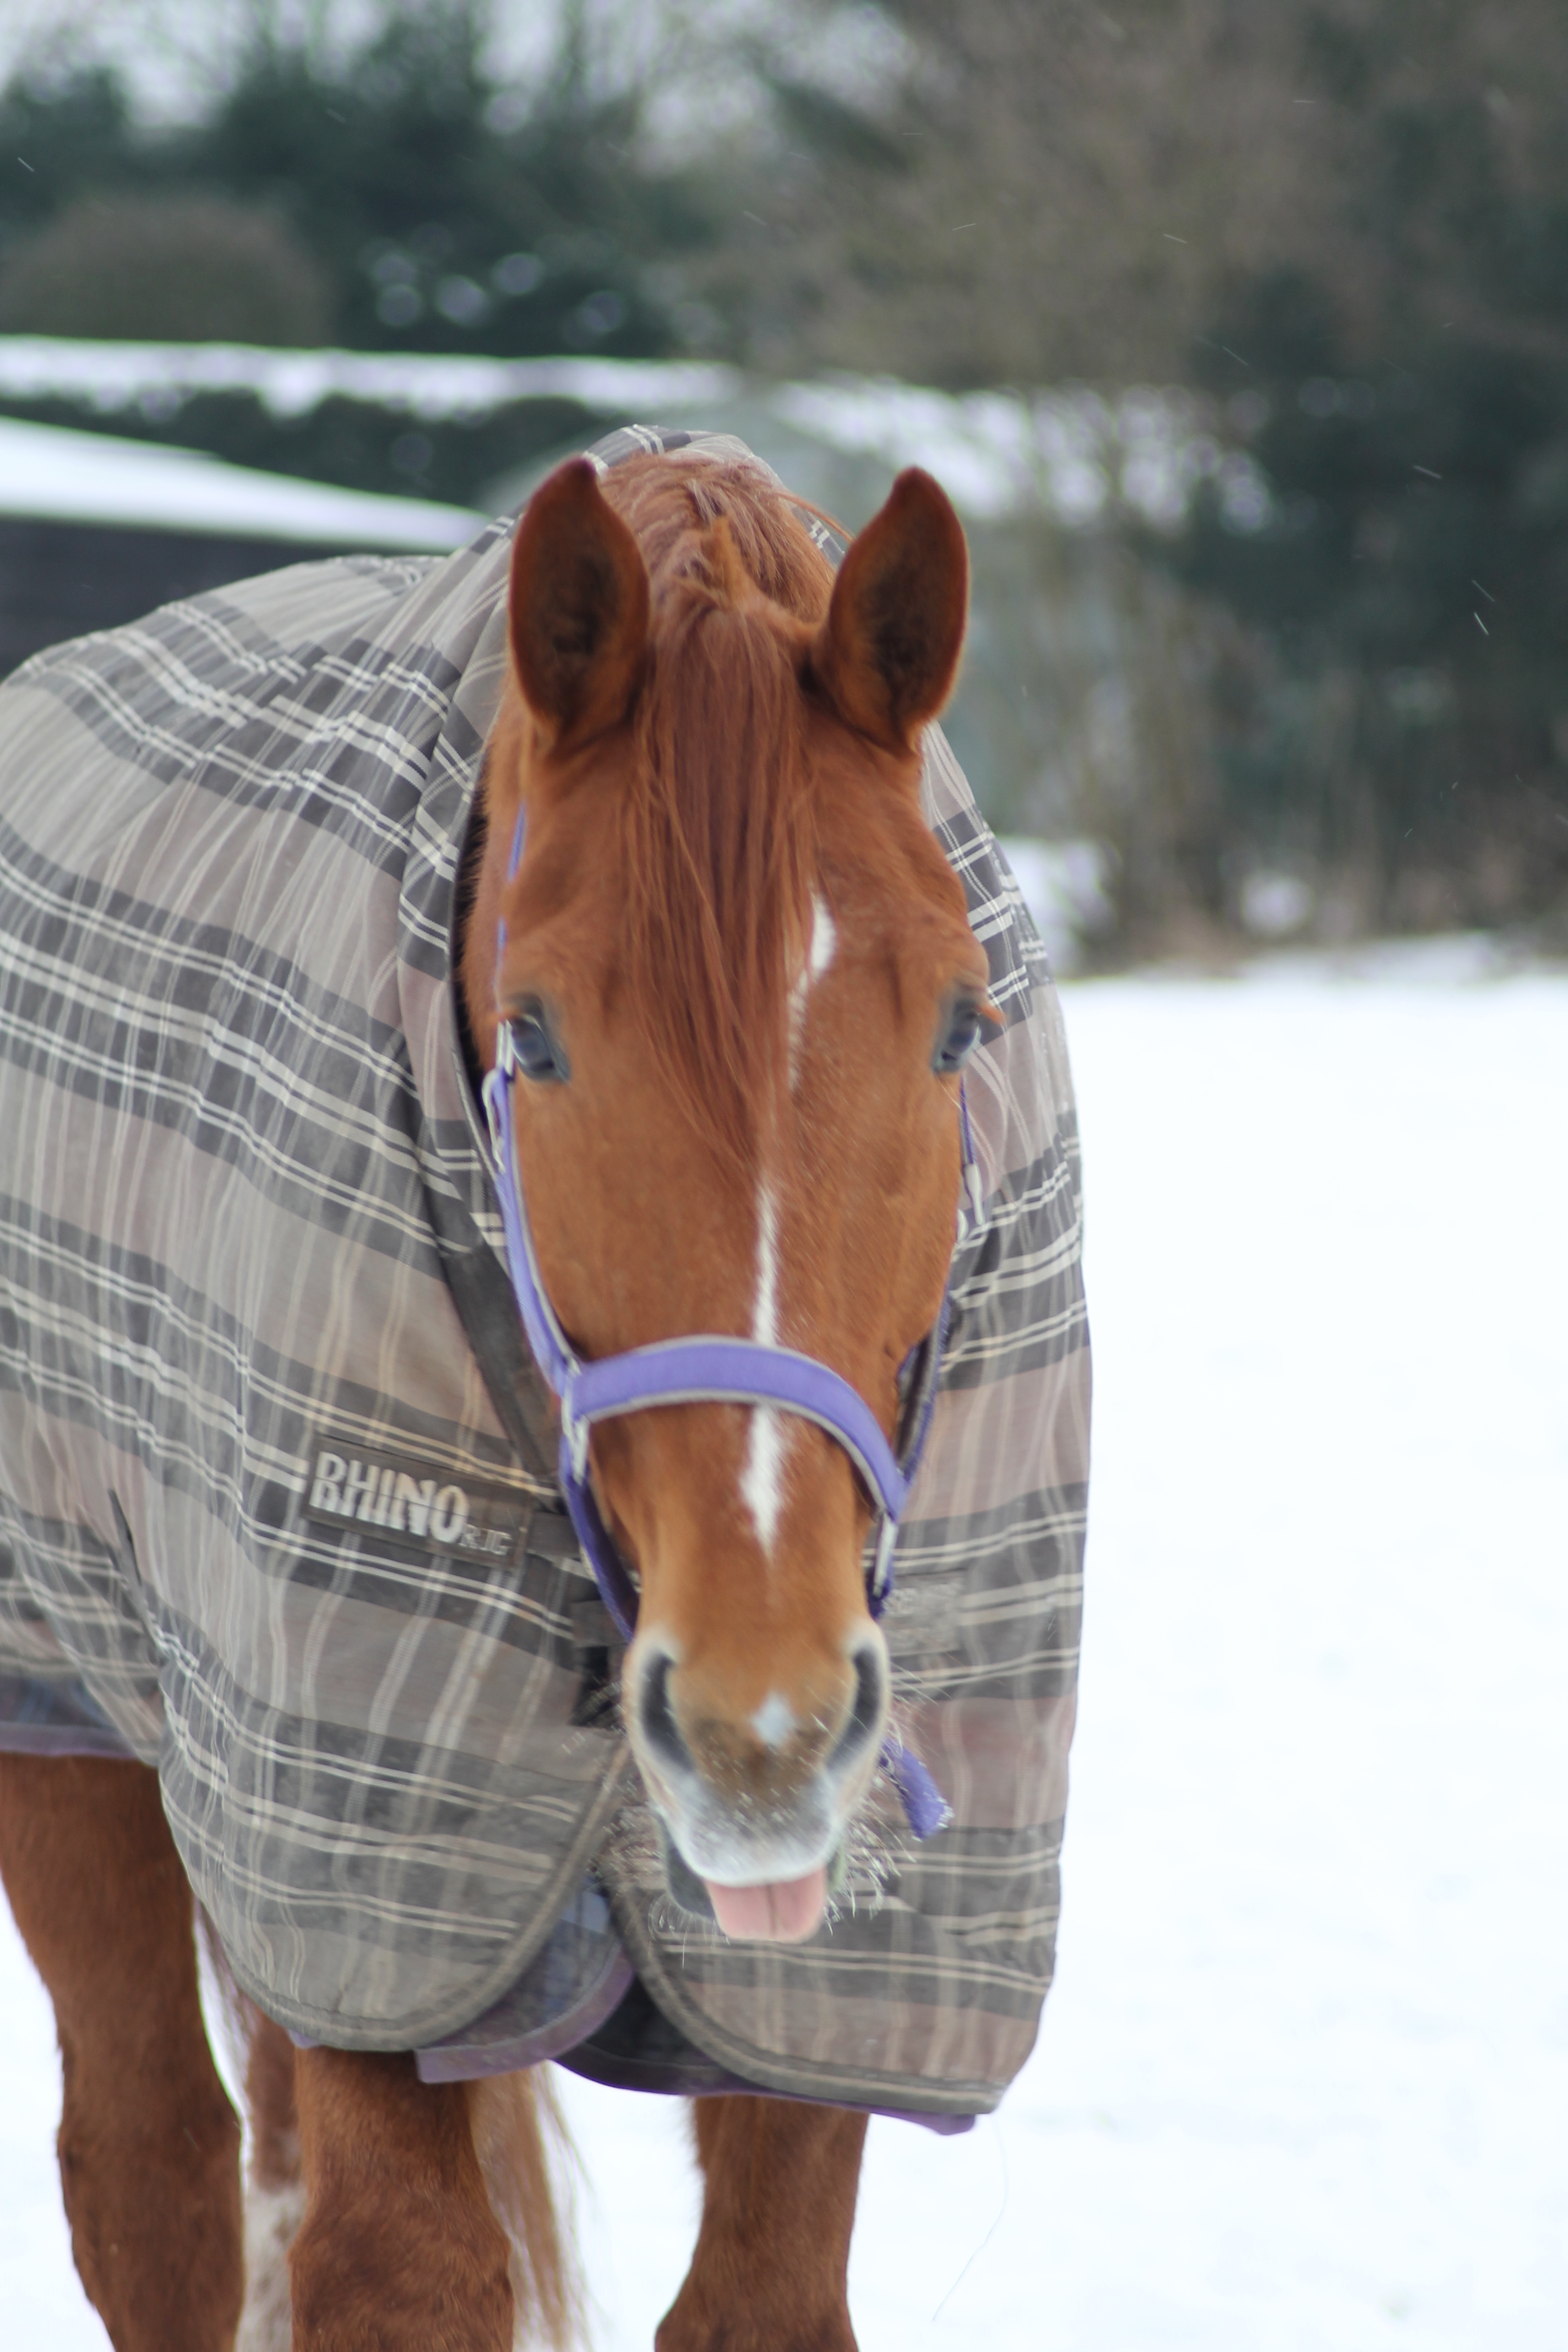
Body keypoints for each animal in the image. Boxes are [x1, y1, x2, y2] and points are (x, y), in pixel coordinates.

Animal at [0, 434, 1088, 2348]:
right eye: (534, 1034)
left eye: (961, 1026)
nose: (758, 1718)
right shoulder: (375, 1890)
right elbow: (399, 2268)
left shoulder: (815, 1995)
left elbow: (760, 2295)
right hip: (74, 1716)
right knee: (151, 2171)